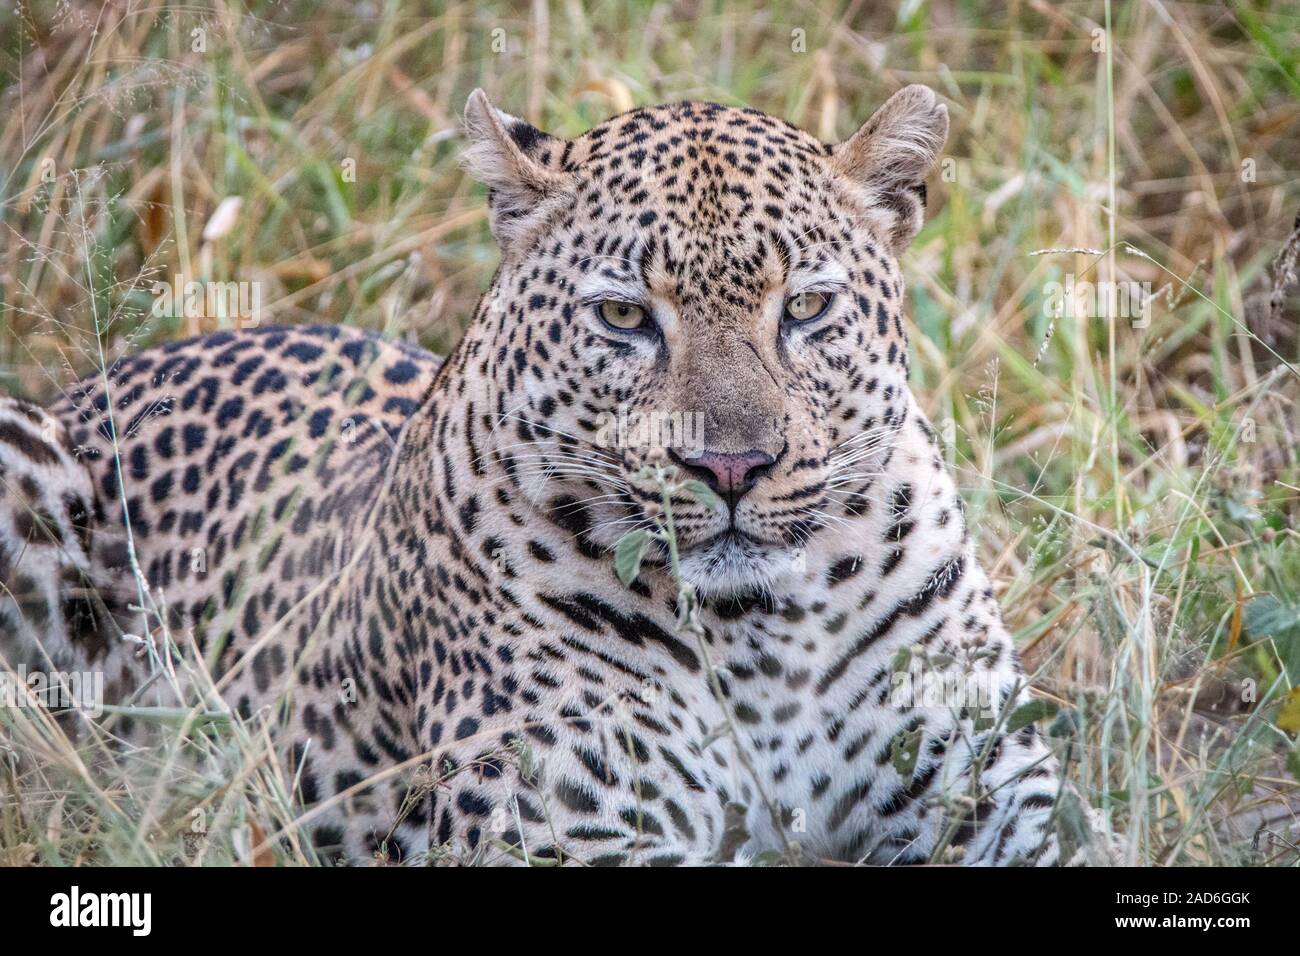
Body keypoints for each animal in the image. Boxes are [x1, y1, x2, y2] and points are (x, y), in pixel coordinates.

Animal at [0, 85, 1107, 866]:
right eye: (623, 317)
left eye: (804, 307)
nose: (732, 464)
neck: (767, 631)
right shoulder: (556, 832)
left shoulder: (993, 781)